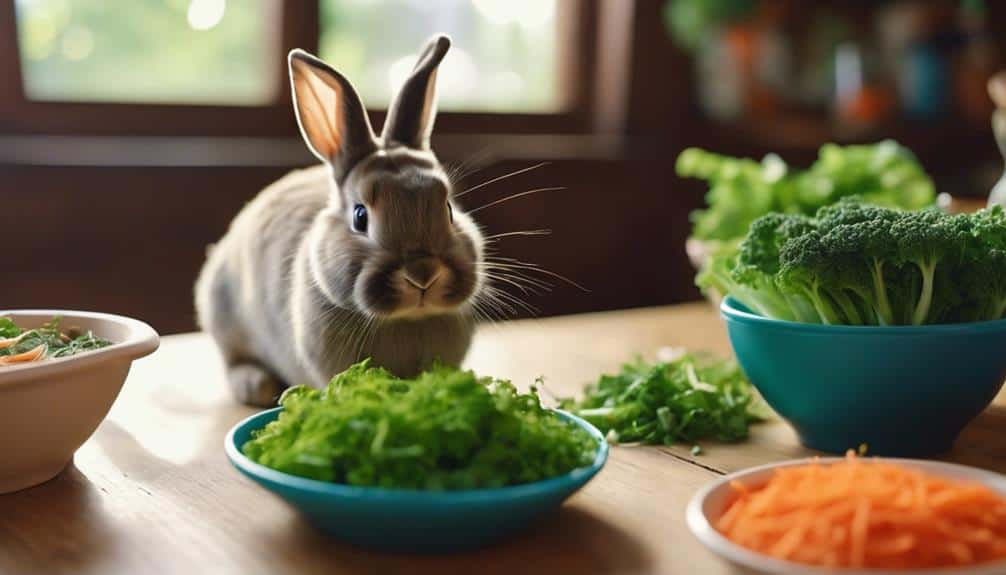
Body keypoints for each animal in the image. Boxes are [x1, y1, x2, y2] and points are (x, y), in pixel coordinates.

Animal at [195, 35, 486, 406]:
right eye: (360, 217)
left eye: (448, 209)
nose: (423, 275)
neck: (405, 320)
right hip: (223, 314)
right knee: (233, 358)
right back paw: (256, 385)